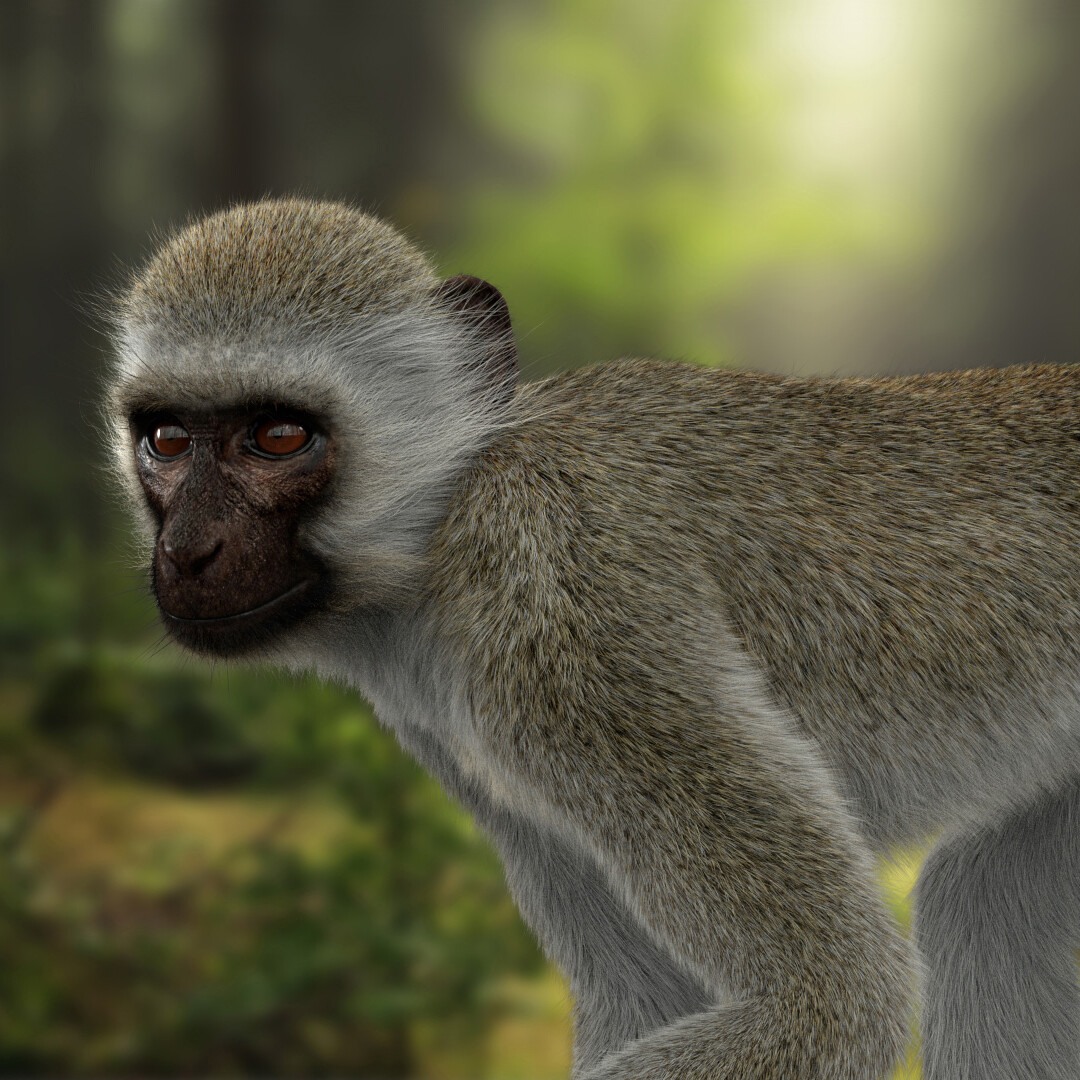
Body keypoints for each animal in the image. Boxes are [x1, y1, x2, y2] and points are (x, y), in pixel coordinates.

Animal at [103, 196, 1080, 1079]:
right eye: (168, 439)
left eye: (277, 436)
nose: (188, 550)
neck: (443, 525)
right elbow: (655, 1002)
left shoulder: (561, 597)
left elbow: (833, 997)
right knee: (985, 901)